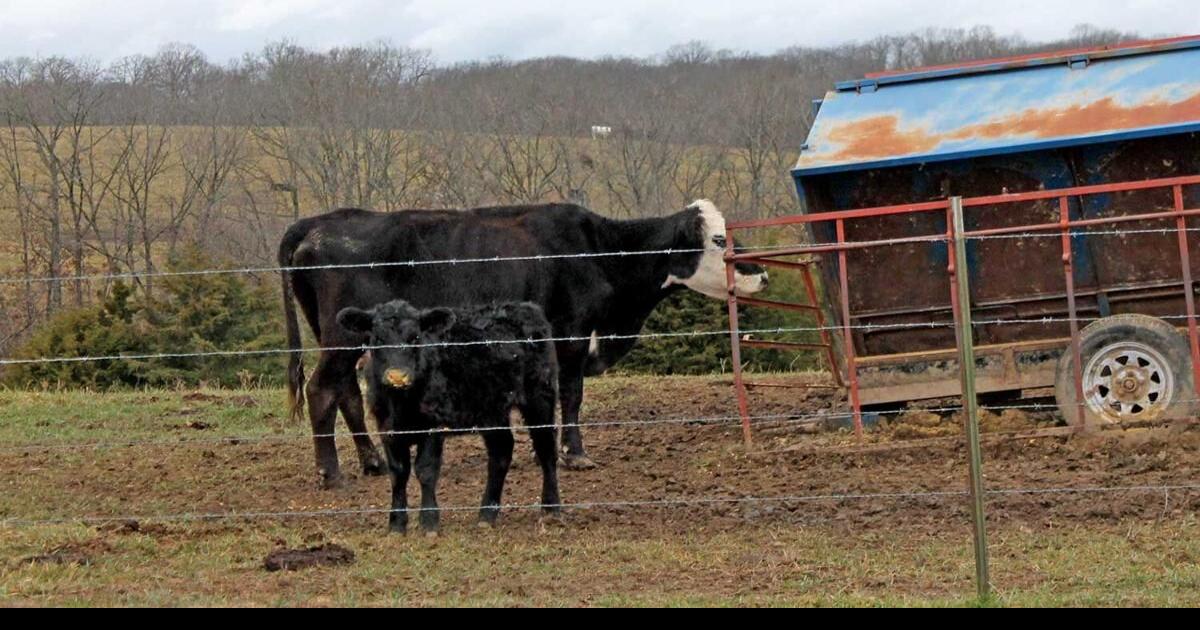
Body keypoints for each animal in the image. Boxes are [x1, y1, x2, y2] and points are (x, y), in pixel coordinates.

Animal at [279, 199, 768, 488]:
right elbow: (571, 394)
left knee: (346, 392)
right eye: (719, 239)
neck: (599, 252)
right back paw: (331, 472)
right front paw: (574, 453)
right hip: (342, 340)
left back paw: (373, 461)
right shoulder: (571, 334)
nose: (761, 273)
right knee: (322, 390)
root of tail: (320, 223)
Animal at [337, 299, 560, 534]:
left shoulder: (434, 423)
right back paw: (486, 514)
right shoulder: (387, 428)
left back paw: (551, 508)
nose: (397, 376)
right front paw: (396, 524)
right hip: (492, 411)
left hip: (540, 396)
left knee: (545, 448)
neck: (401, 405)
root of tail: (525, 307)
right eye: (377, 339)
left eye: (415, 338)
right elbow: (398, 473)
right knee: (501, 451)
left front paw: (429, 521)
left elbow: (425, 469)